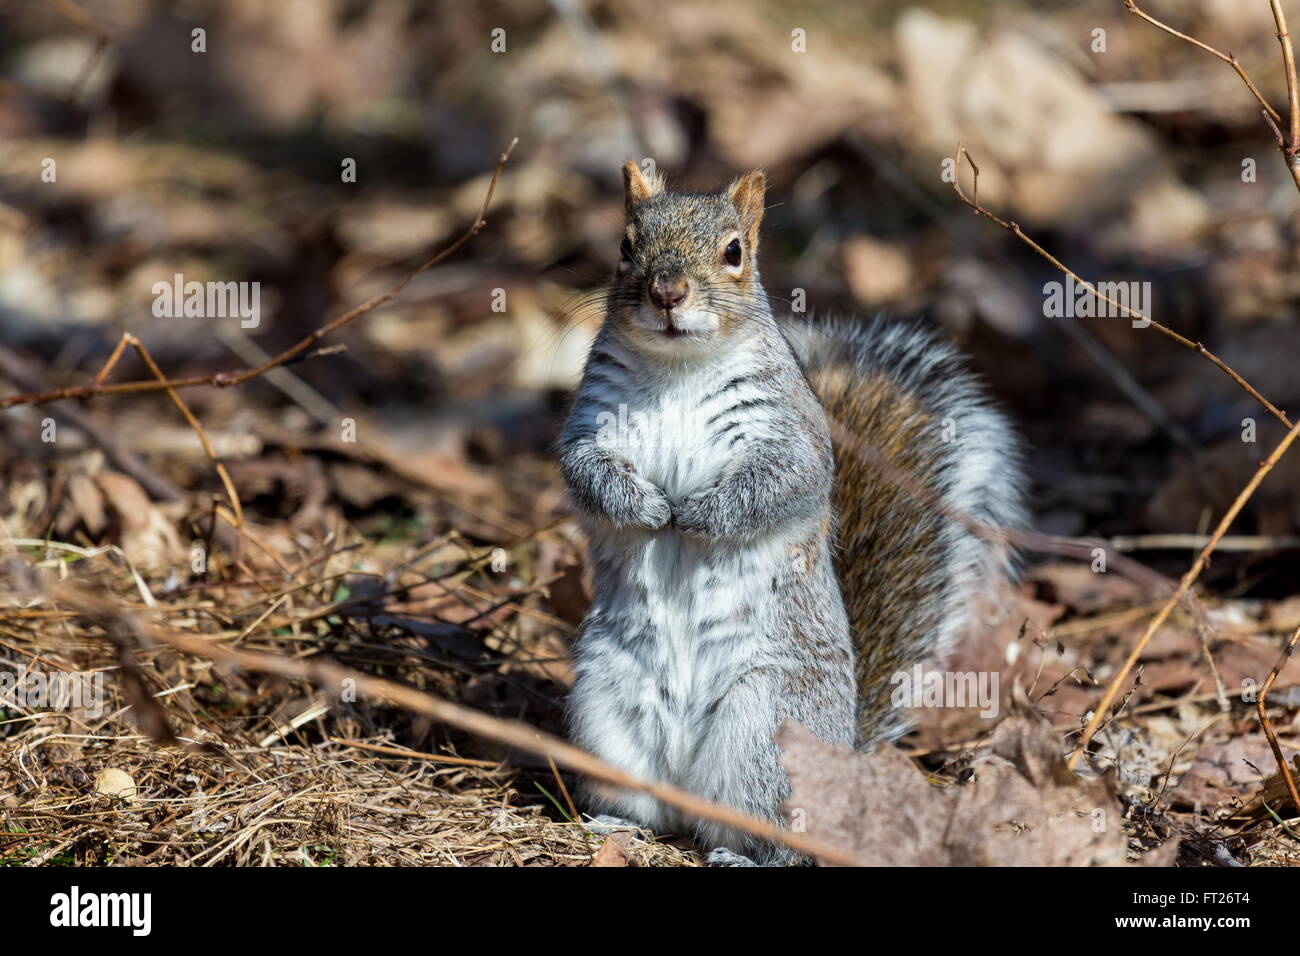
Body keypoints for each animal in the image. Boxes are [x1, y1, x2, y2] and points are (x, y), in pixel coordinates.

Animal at [558, 161, 1026, 865]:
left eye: (735, 252)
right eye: (625, 245)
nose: (668, 293)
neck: (677, 368)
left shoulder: (790, 437)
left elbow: (780, 485)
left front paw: (697, 514)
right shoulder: (591, 424)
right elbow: (583, 472)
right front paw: (645, 505)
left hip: (768, 728)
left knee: (772, 832)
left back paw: (739, 854)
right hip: (605, 707)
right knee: (656, 808)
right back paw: (617, 823)